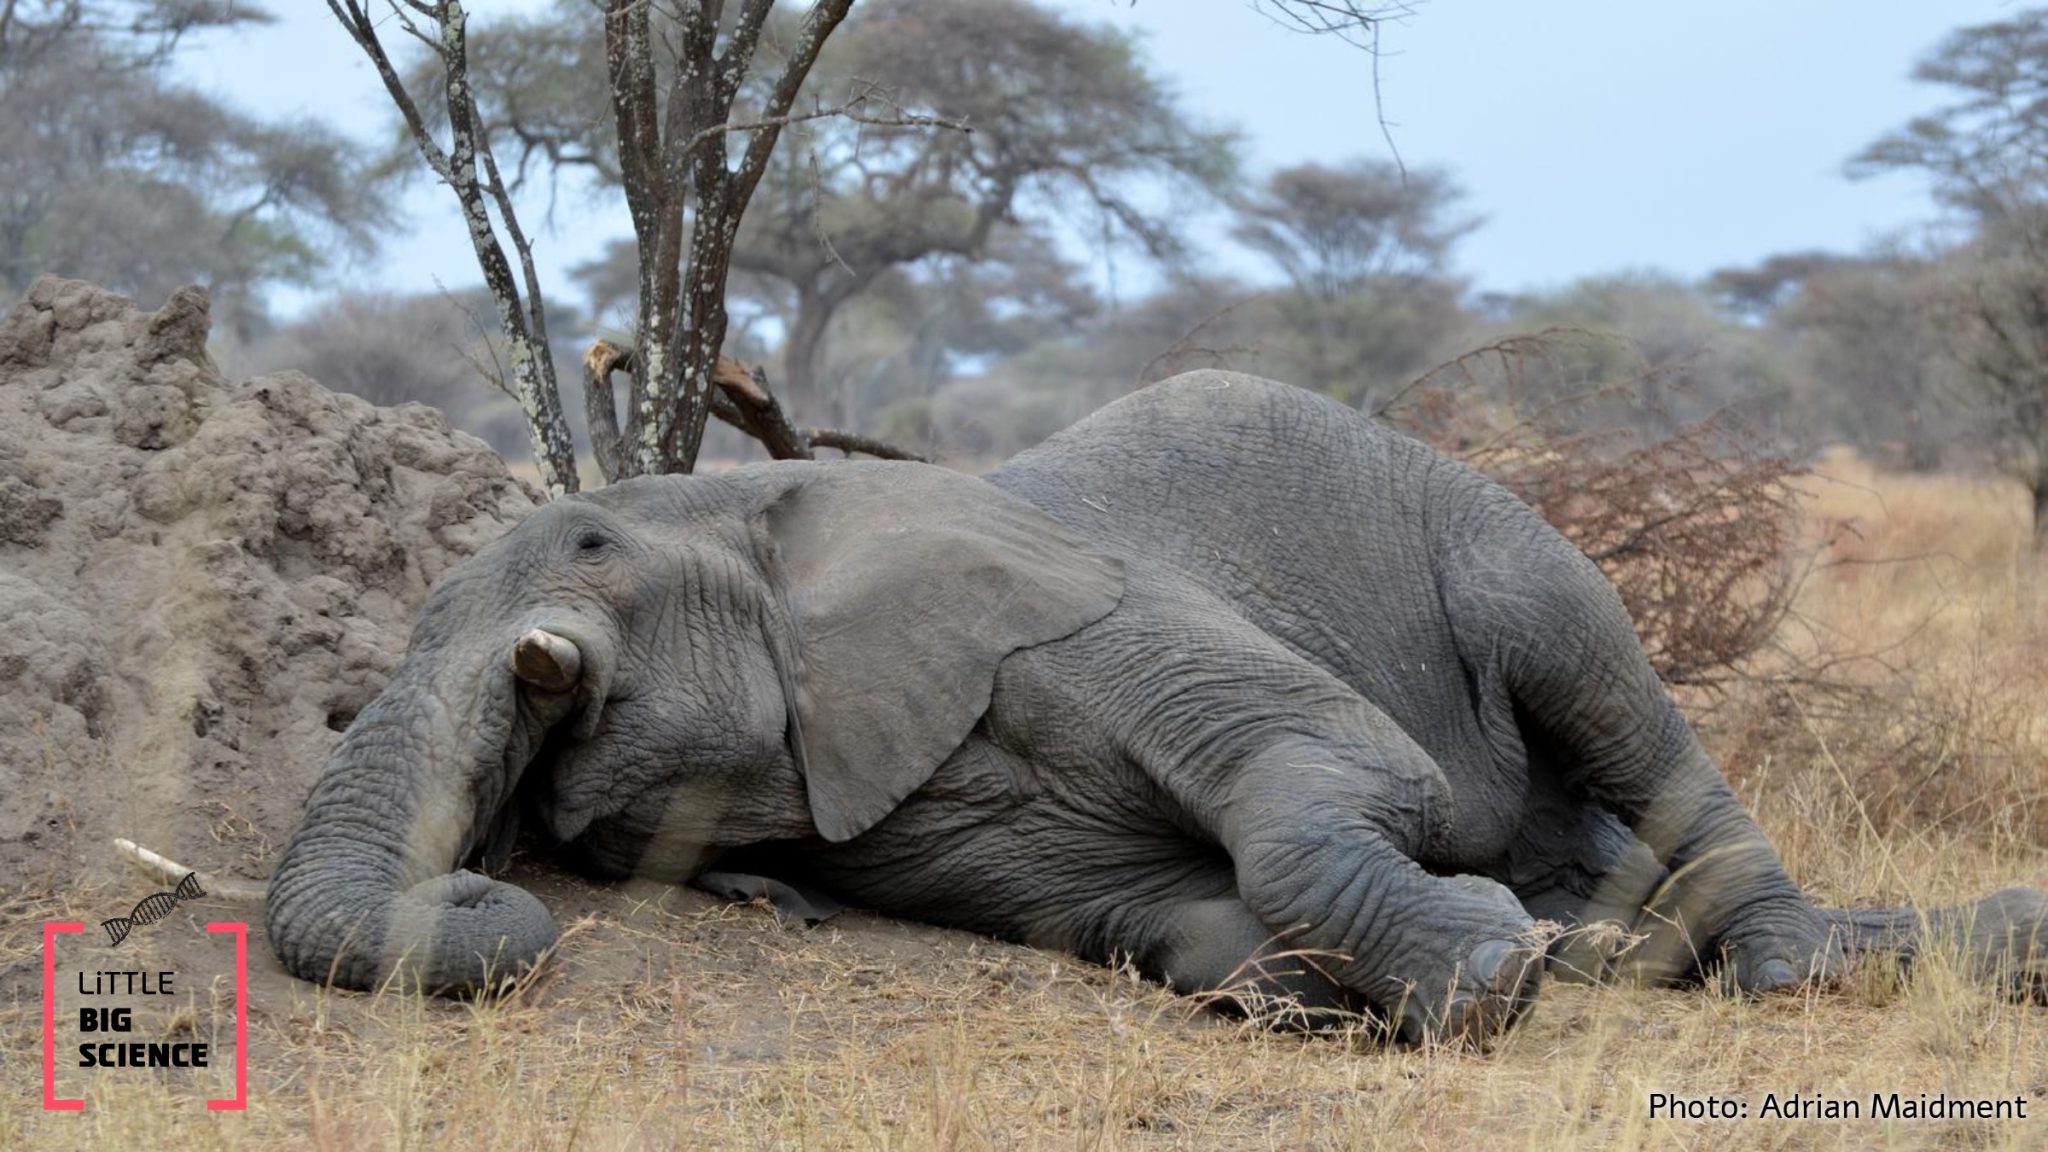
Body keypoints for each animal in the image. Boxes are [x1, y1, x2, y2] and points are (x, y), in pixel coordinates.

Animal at [265, 370, 2047, 1043]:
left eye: (587, 545)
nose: (490, 882)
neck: (779, 502)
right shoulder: (917, 822)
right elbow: (1161, 917)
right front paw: (1354, 988)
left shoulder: (1087, 615)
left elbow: (1345, 780)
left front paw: (1494, 978)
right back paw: (1607, 940)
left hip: (1505, 549)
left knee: (1614, 694)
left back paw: (1773, 961)